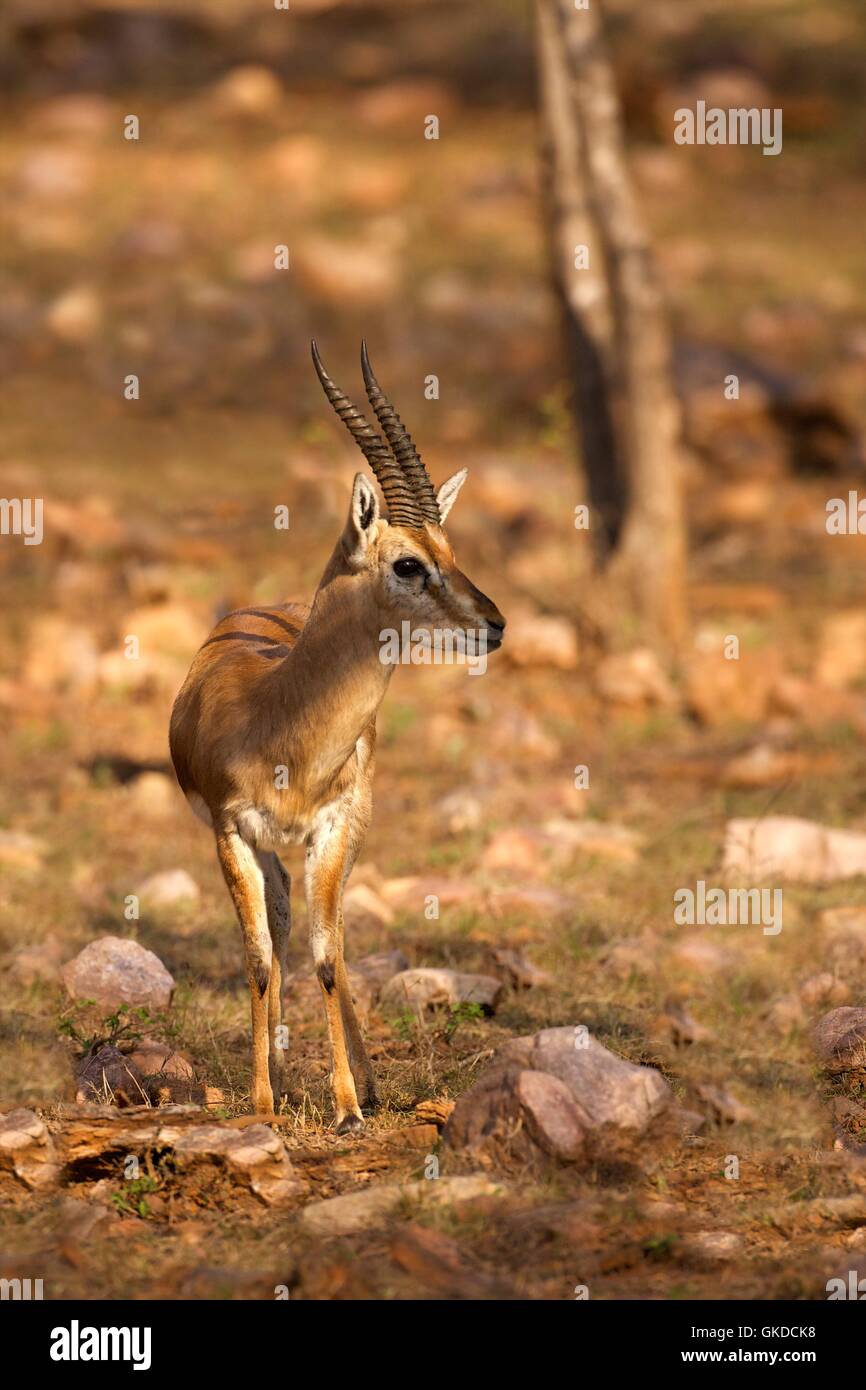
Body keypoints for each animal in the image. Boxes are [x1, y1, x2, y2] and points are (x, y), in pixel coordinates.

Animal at [169, 343, 506, 1131]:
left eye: (450, 546)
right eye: (408, 562)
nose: (495, 624)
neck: (277, 719)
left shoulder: (330, 826)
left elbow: (326, 955)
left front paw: (349, 1105)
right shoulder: (230, 832)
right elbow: (260, 956)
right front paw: (265, 1102)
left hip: (351, 827)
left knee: (337, 932)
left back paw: (366, 1083)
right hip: (271, 848)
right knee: (283, 920)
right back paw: (278, 1063)